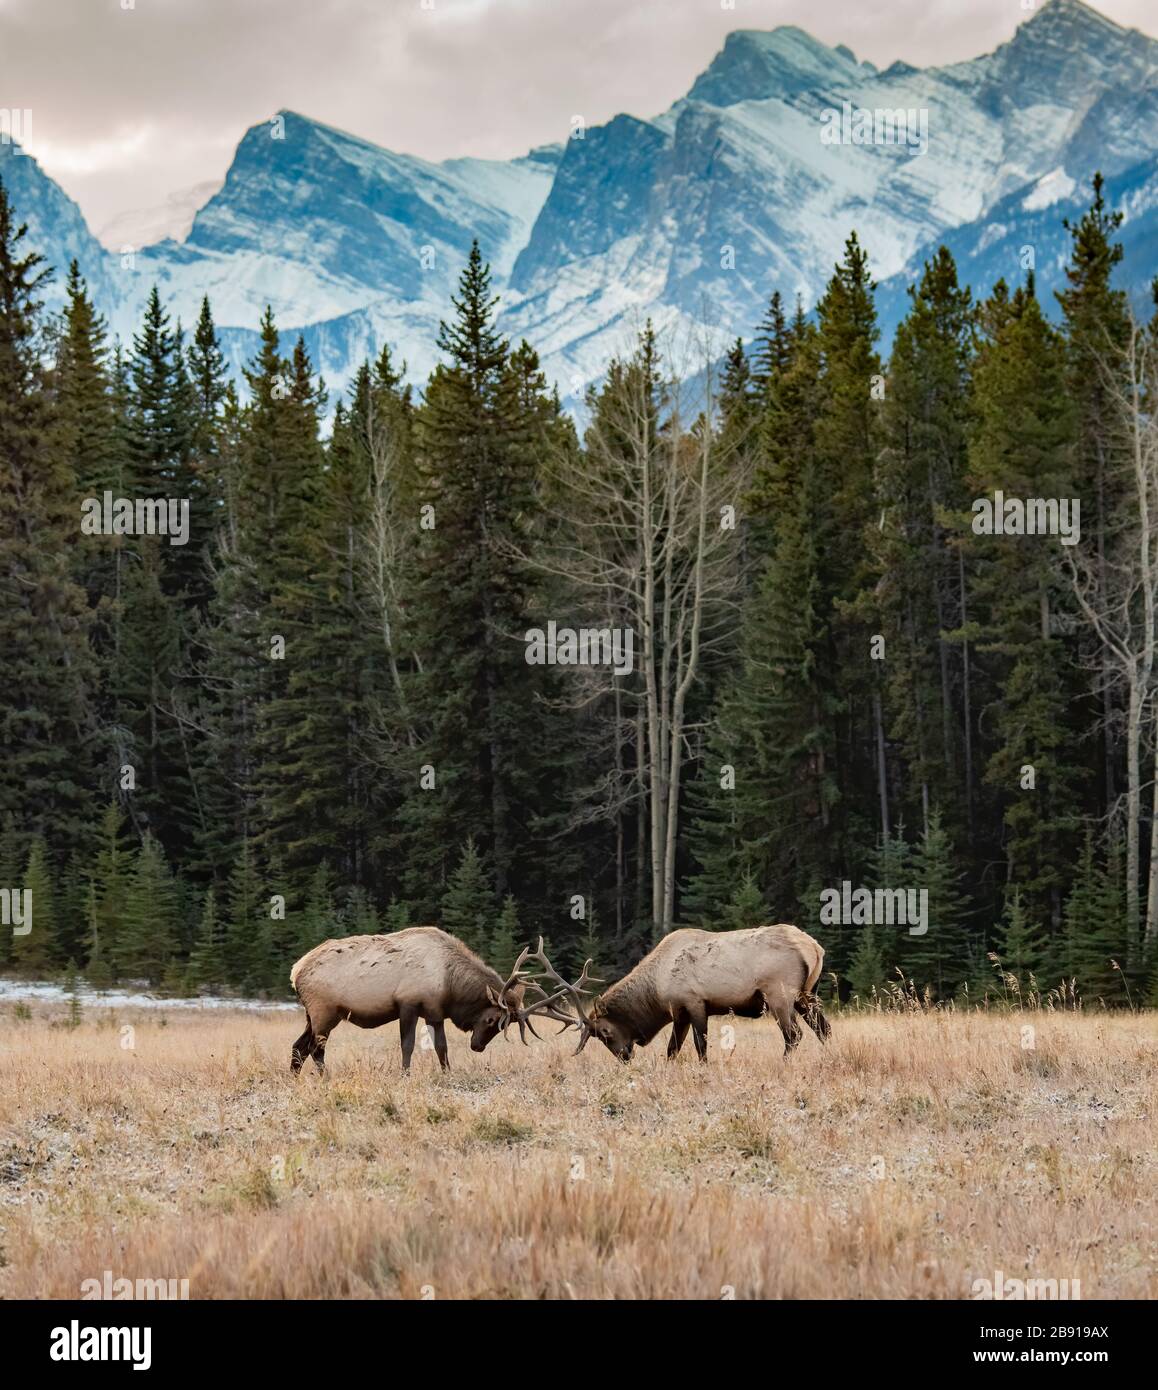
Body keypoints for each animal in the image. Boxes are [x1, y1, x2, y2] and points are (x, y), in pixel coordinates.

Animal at [288, 928, 573, 1074]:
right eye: (492, 1019)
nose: (477, 1047)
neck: (450, 984)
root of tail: (296, 971)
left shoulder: (435, 1012)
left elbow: (441, 1048)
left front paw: (448, 1074)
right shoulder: (408, 1004)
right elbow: (407, 1046)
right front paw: (405, 1075)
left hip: (312, 1015)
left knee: (298, 1047)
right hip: (324, 1011)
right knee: (315, 1049)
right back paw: (326, 1079)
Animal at [529, 924, 830, 1063]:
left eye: (605, 1032)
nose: (624, 1057)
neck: (656, 991)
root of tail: (814, 948)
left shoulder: (694, 1001)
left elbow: (700, 1045)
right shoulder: (680, 1012)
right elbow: (672, 1049)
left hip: (779, 994)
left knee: (794, 1035)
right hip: (806, 995)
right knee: (823, 1029)